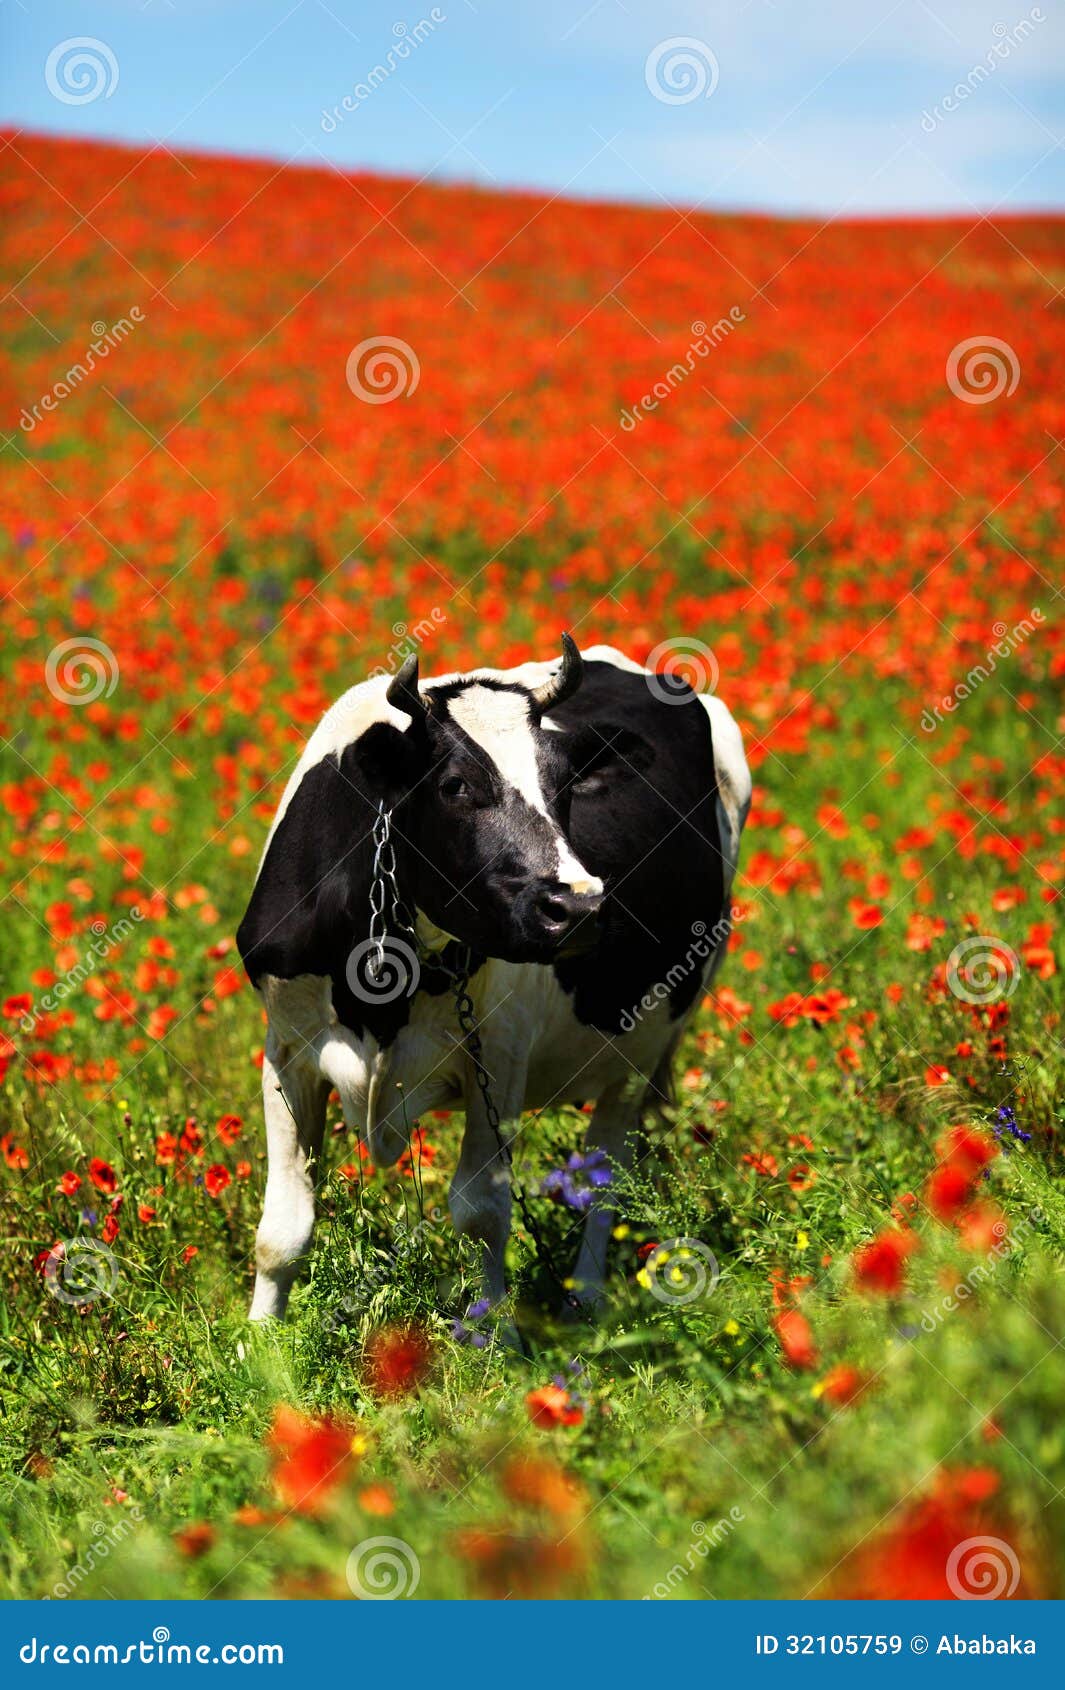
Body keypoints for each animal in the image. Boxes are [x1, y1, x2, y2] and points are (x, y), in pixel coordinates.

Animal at [236, 637, 751, 1323]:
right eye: (454, 785)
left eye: (566, 788)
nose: (580, 905)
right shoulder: (287, 1050)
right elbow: (283, 1229)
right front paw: (261, 1339)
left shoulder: (500, 1059)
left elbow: (481, 1214)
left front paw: (496, 1334)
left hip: (643, 1045)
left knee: (606, 1176)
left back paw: (587, 1300)